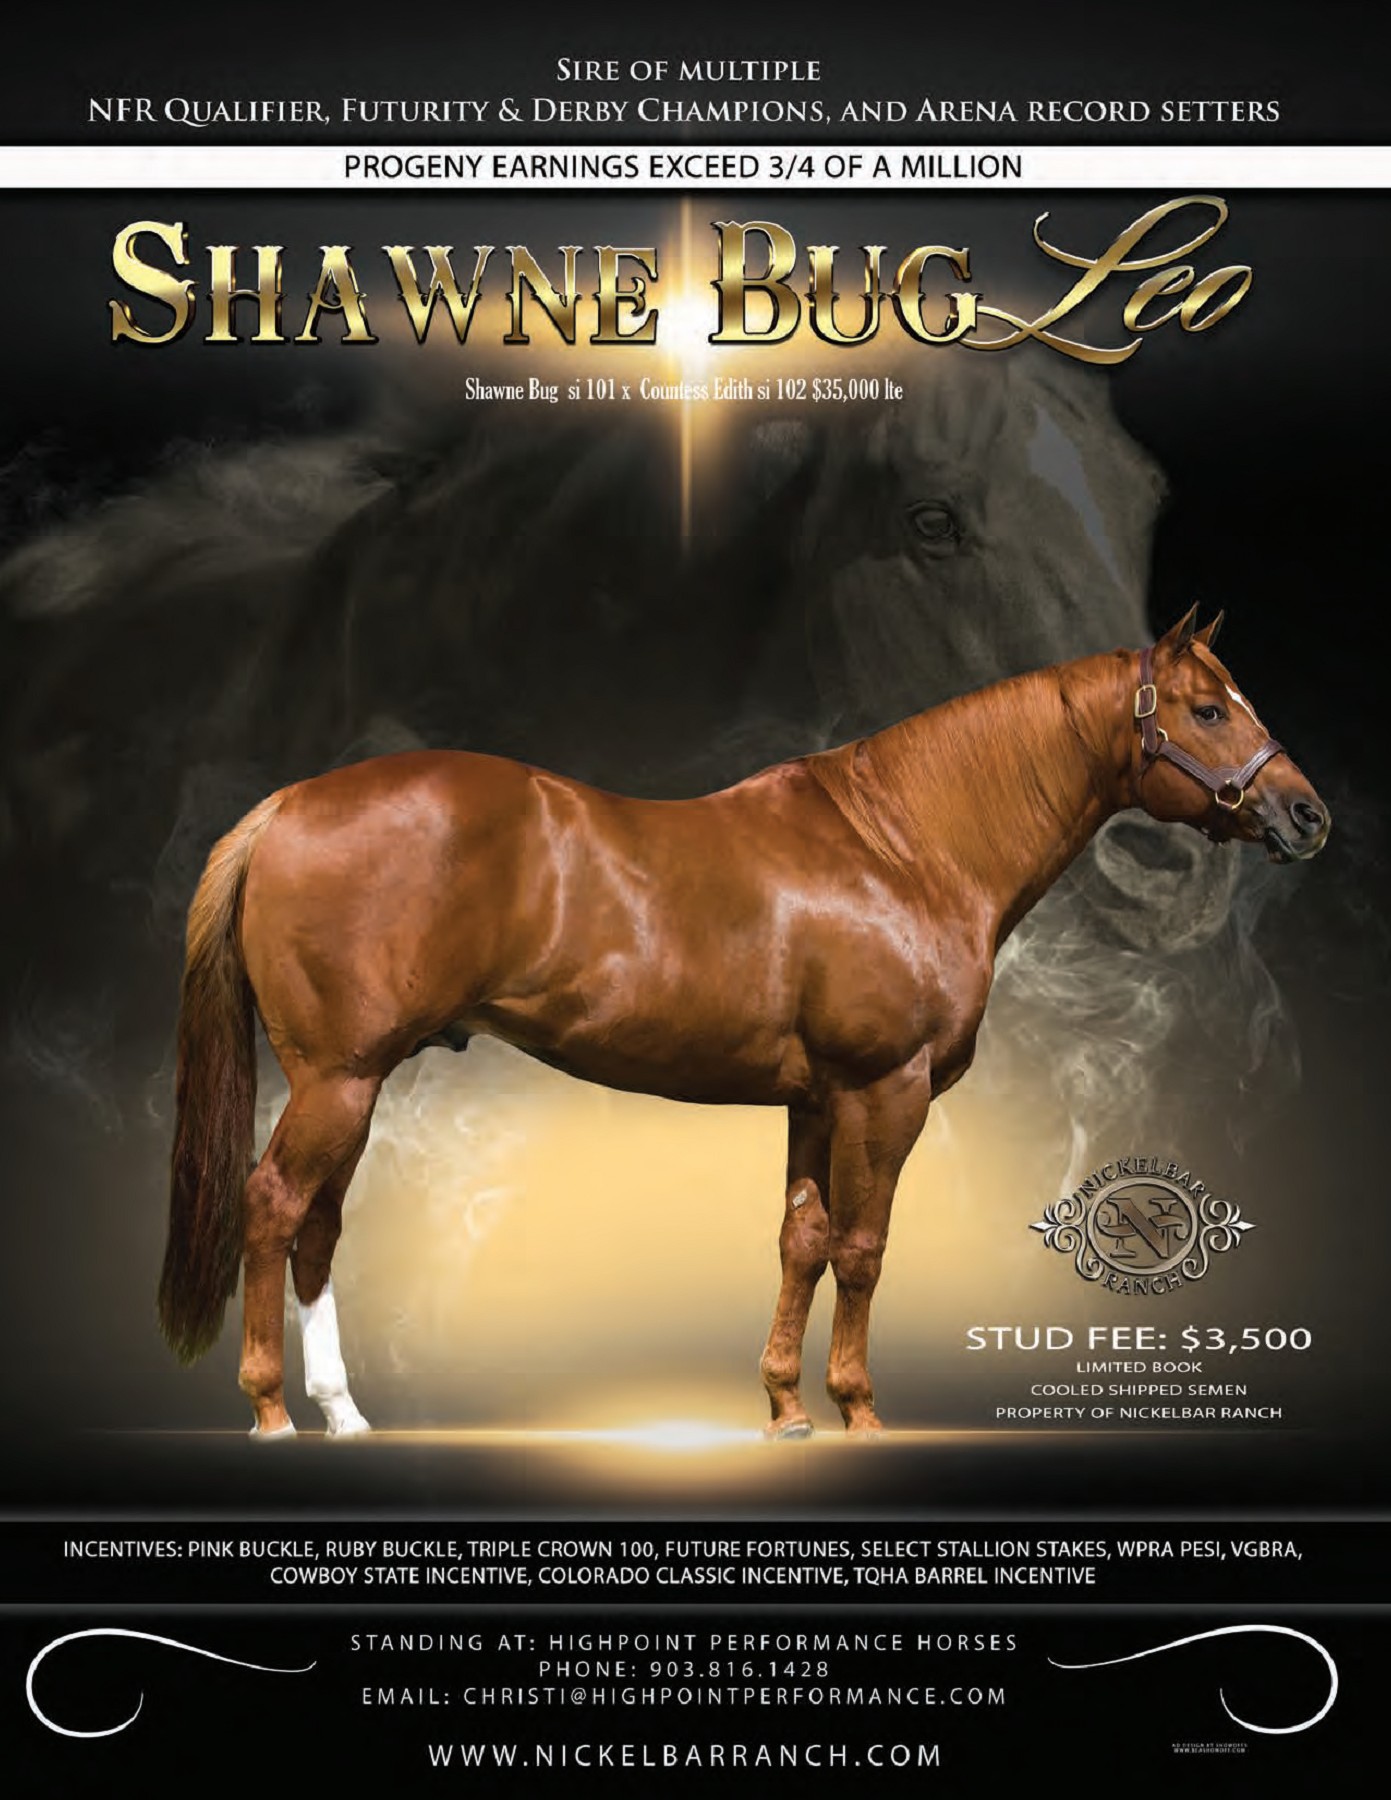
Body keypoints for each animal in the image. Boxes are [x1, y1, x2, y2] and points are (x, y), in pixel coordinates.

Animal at [157, 607, 1329, 1439]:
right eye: (1208, 709)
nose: (1305, 814)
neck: (901, 848)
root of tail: (290, 805)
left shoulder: (814, 1101)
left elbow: (799, 1240)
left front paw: (786, 1408)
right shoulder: (885, 1091)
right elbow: (863, 1248)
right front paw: (858, 1408)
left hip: (354, 1082)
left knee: (317, 1227)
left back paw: (344, 1415)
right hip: (338, 1077)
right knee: (273, 1207)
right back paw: (272, 1412)